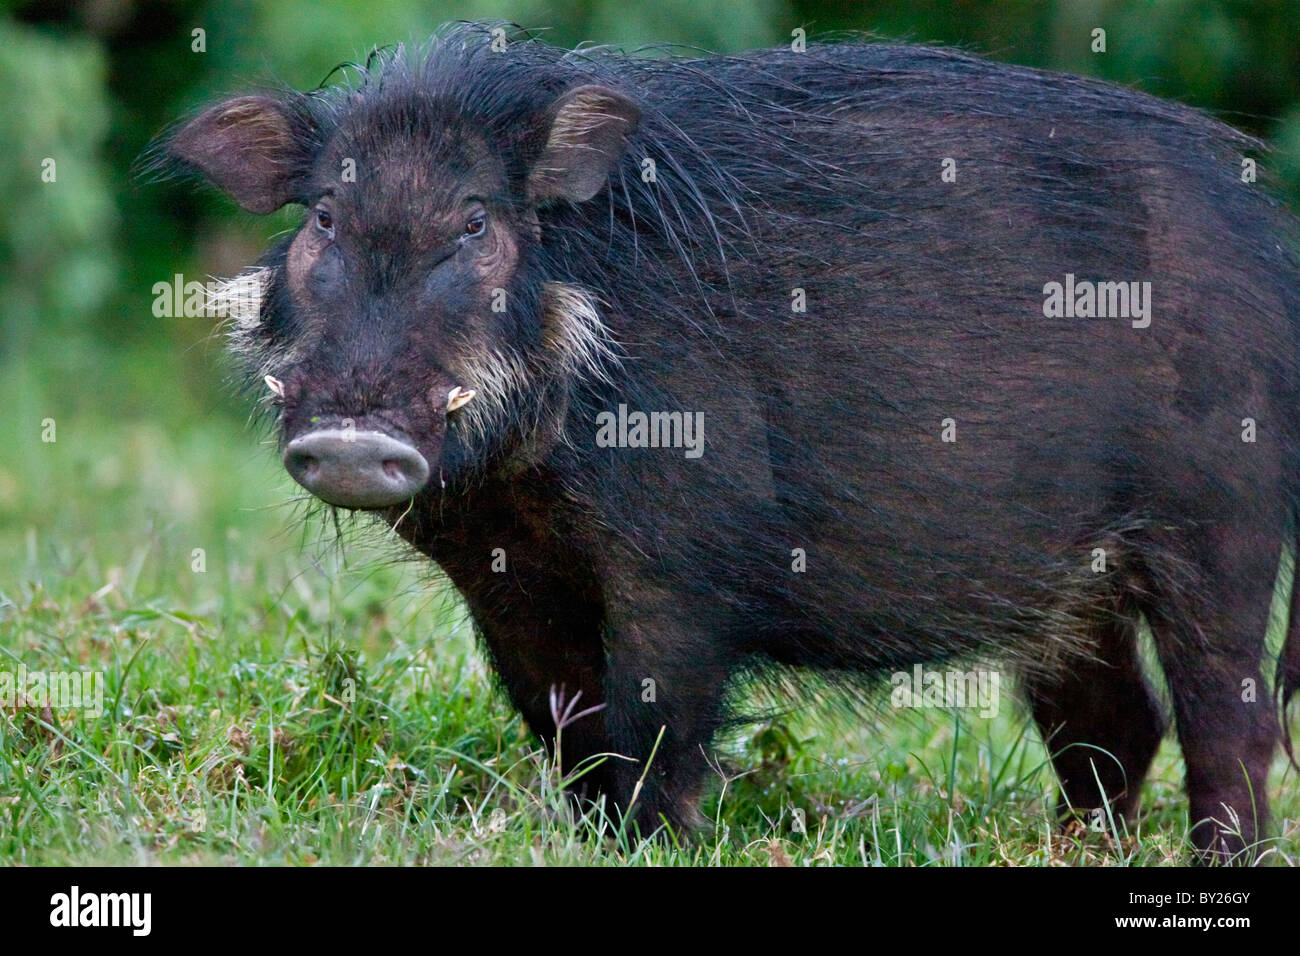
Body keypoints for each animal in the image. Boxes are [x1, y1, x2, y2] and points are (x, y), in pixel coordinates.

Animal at [154, 23, 1300, 861]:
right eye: (324, 219)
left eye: (476, 223)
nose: (352, 434)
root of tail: (1273, 255)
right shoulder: (505, 578)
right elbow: (566, 724)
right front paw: (592, 836)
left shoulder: (683, 566)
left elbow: (657, 725)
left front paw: (654, 844)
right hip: (1074, 587)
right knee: (1115, 722)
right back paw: (1079, 848)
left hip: (1221, 528)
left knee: (1229, 718)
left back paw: (1219, 856)